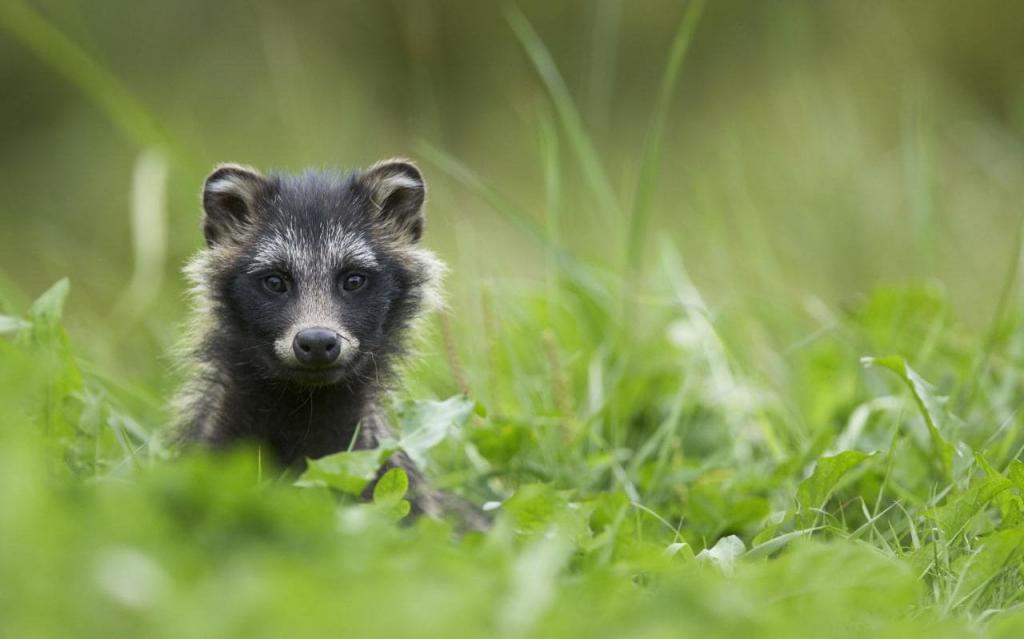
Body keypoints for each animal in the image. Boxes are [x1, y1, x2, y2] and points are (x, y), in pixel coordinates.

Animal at [176, 158, 460, 520]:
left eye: (353, 280)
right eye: (275, 281)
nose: (316, 341)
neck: (305, 402)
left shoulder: (377, 468)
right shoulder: (214, 450)